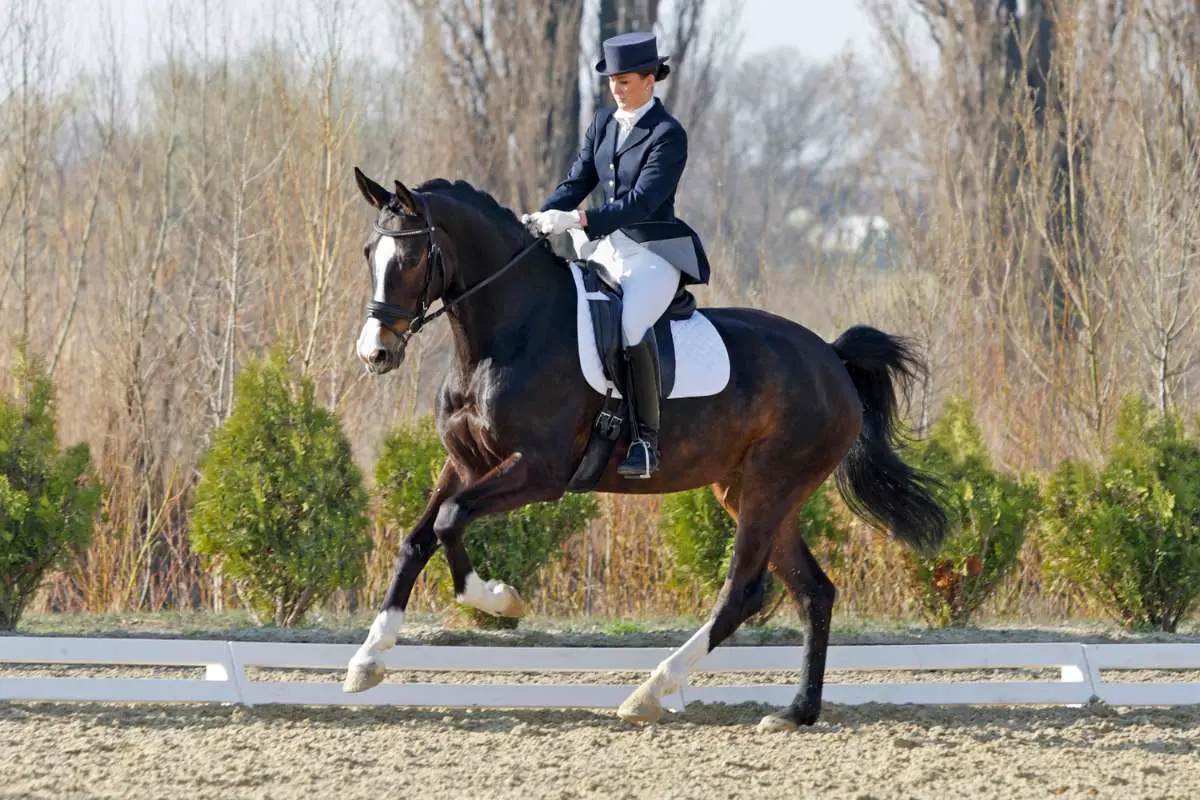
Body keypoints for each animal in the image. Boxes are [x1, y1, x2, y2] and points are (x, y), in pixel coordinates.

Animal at [343, 168, 950, 731]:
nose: (376, 354)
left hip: (771, 487)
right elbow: (418, 539)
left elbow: (450, 519)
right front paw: (368, 658)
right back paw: (796, 712)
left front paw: (498, 597)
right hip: (748, 491)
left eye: (413, 258)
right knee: (814, 592)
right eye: (370, 254)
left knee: (743, 591)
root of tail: (831, 357)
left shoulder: (539, 472)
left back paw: (653, 691)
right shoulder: (466, 463)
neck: (507, 334)